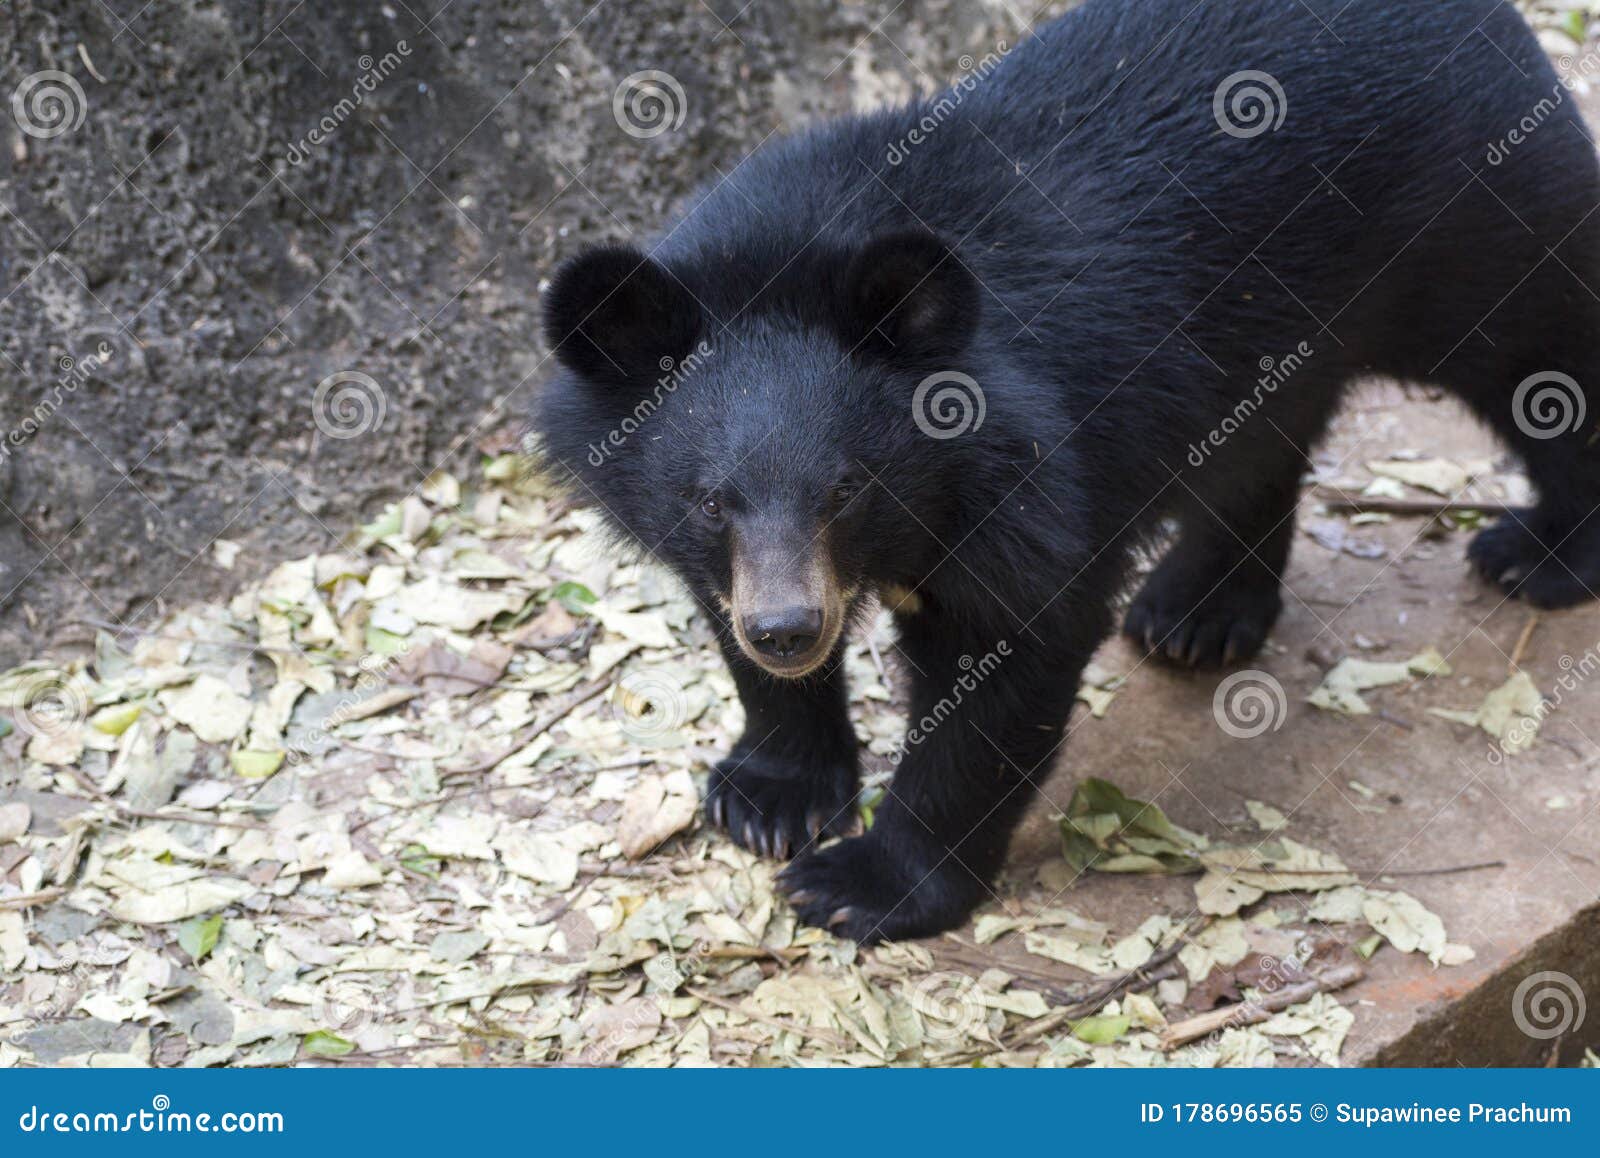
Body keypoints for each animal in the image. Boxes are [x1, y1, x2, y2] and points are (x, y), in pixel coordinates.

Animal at [531, 0, 1600, 943]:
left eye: (846, 490)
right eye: (712, 501)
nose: (790, 629)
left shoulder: (1026, 473)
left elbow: (1011, 654)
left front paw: (858, 886)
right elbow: (729, 623)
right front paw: (768, 798)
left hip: (1473, 216)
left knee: (1543, 360)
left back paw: (1538, 555)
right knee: (1263, 437)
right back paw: (1196, 614)